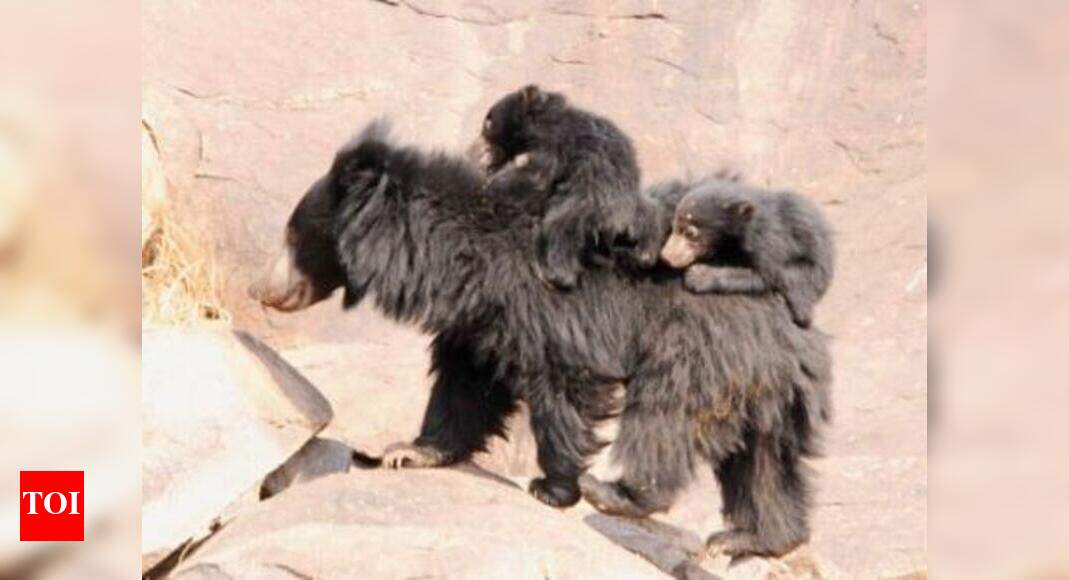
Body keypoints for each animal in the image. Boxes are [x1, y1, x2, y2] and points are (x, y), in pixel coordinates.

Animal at [472, 84, 659, 288]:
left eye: (489, 119)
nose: (480, 140)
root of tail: (620, 220)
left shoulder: (554, 144)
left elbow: (536, 177)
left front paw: (490, 187)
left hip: (590, 200)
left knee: (562, 228)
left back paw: (554, 274)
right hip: (631, 206)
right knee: (648, 215)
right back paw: (645, 253)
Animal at [658, 177, 835, 328]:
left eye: (690, 233)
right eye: (674, 226)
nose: (666, 256)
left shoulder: (768, 239)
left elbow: (764, 274)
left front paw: (697, 276)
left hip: (809, 269)